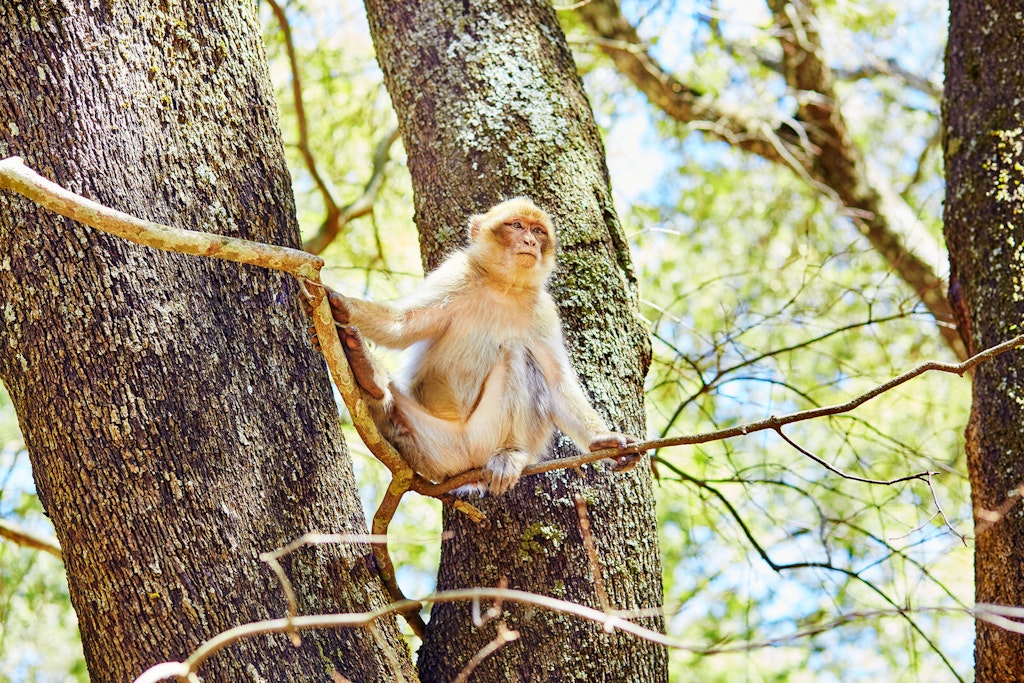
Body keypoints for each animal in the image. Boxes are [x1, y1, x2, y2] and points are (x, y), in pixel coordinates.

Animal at [315, 197, 640, 496]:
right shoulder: (455, 276)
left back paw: (511, 453)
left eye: (538, 230)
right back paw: (369, 377)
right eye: (517, 226)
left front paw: (603, 441)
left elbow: (556, 381)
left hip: (486, 436)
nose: (530, 241)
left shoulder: (543, 311)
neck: (503, 288)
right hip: (436, 448)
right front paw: (342, 306)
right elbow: (402, 325)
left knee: (517, 353)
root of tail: (467, 463)